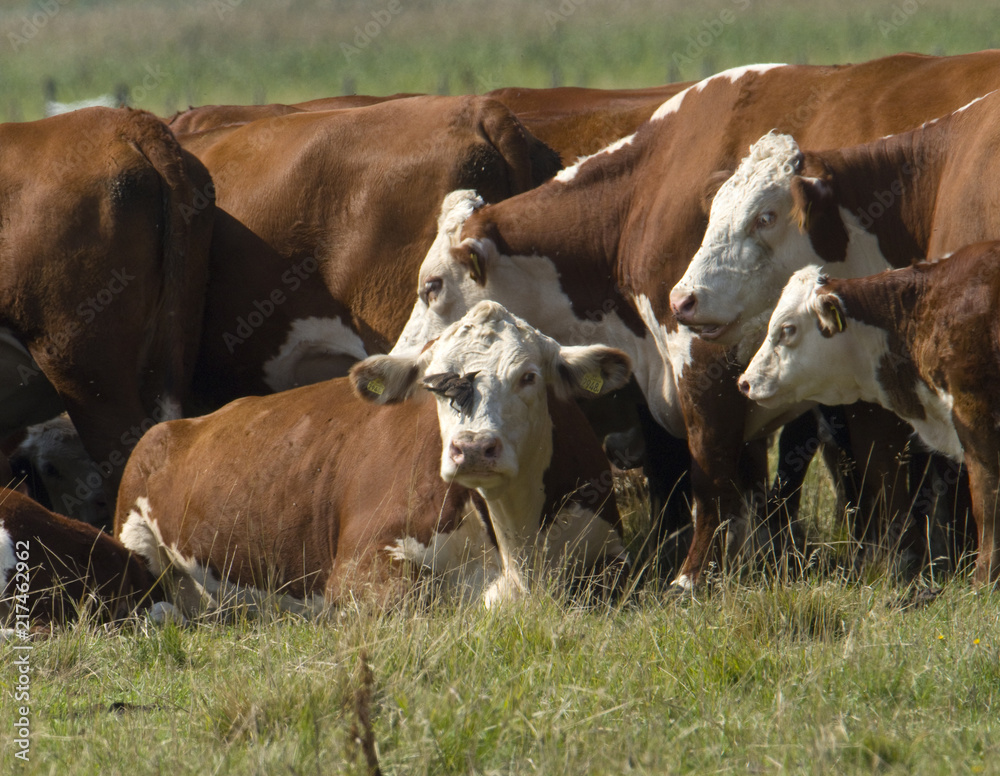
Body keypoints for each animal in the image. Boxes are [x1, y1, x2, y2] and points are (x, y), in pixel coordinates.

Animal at [114, 302, 631, 613]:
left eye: (528, 377)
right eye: (434, 385)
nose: (472, 448)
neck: (517, 548)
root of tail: (184, 424)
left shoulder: (613, 558)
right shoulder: (358, 566)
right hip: (134, 534)